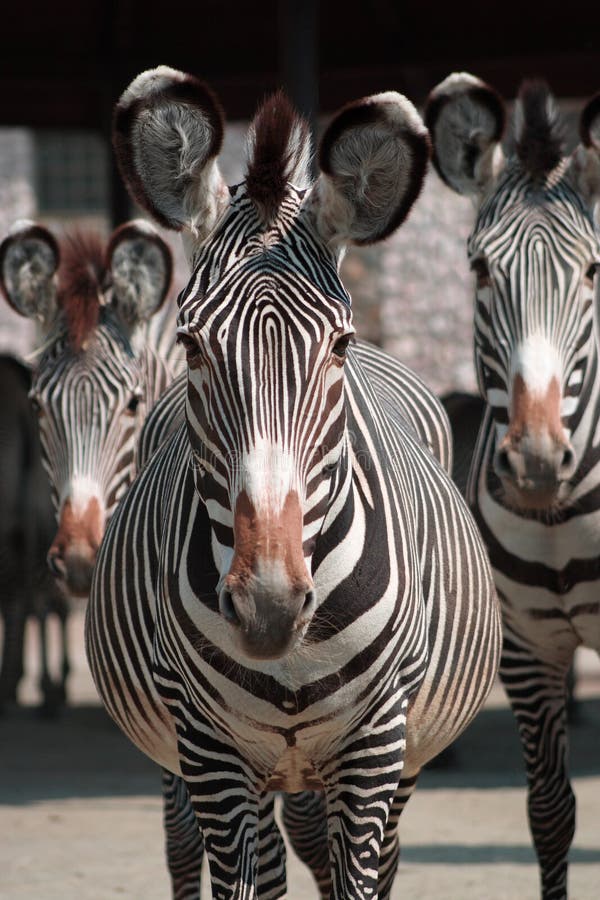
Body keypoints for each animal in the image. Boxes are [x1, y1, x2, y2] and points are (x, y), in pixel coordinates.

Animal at [86, 65, 501, 899]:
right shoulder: (209, 751)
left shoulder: (376, 746)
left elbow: (358, 876)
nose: (270, 604)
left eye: (339, 345)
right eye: (192, 345)